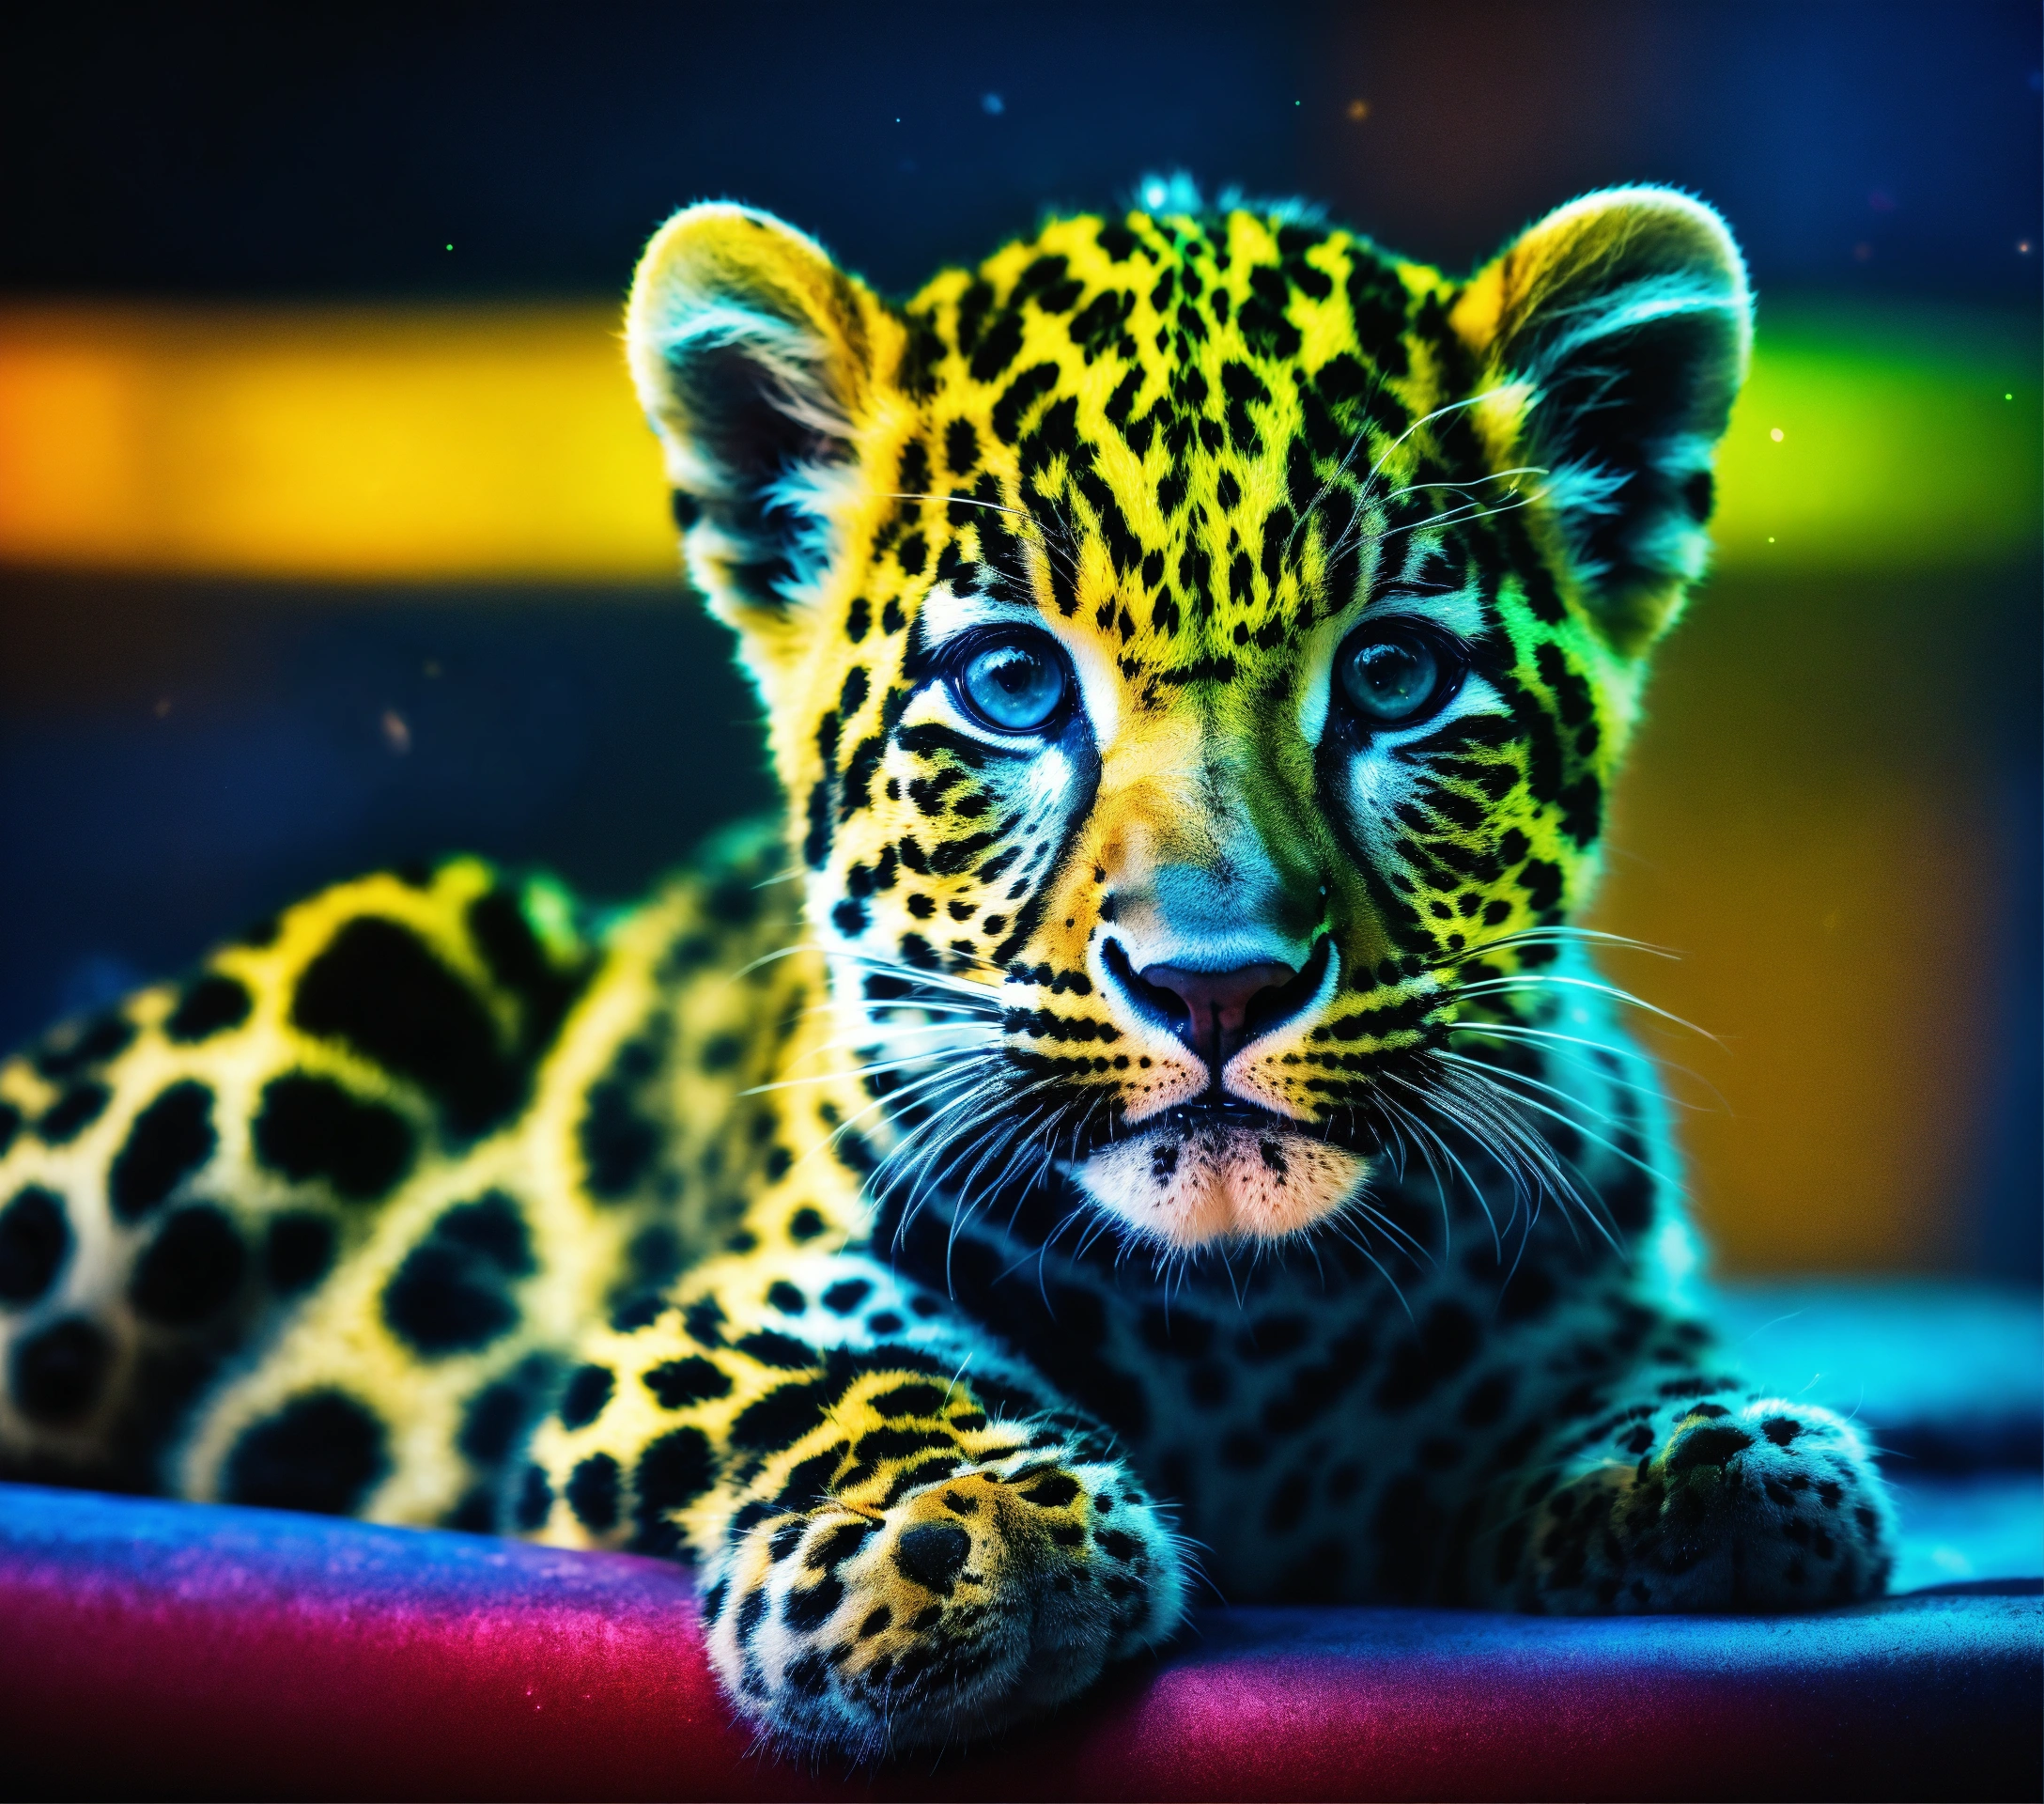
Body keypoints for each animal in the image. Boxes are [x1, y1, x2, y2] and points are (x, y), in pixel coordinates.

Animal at [0, 181, 1897, 1757]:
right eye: (1011, 685)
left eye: (1394, 678)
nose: (1218, 985)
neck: (1242, 1335)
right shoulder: (693, 1324)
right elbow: (848, 1372)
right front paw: (963, 1528)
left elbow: (1590, 1372)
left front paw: (1707, 1461)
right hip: (379, 953)